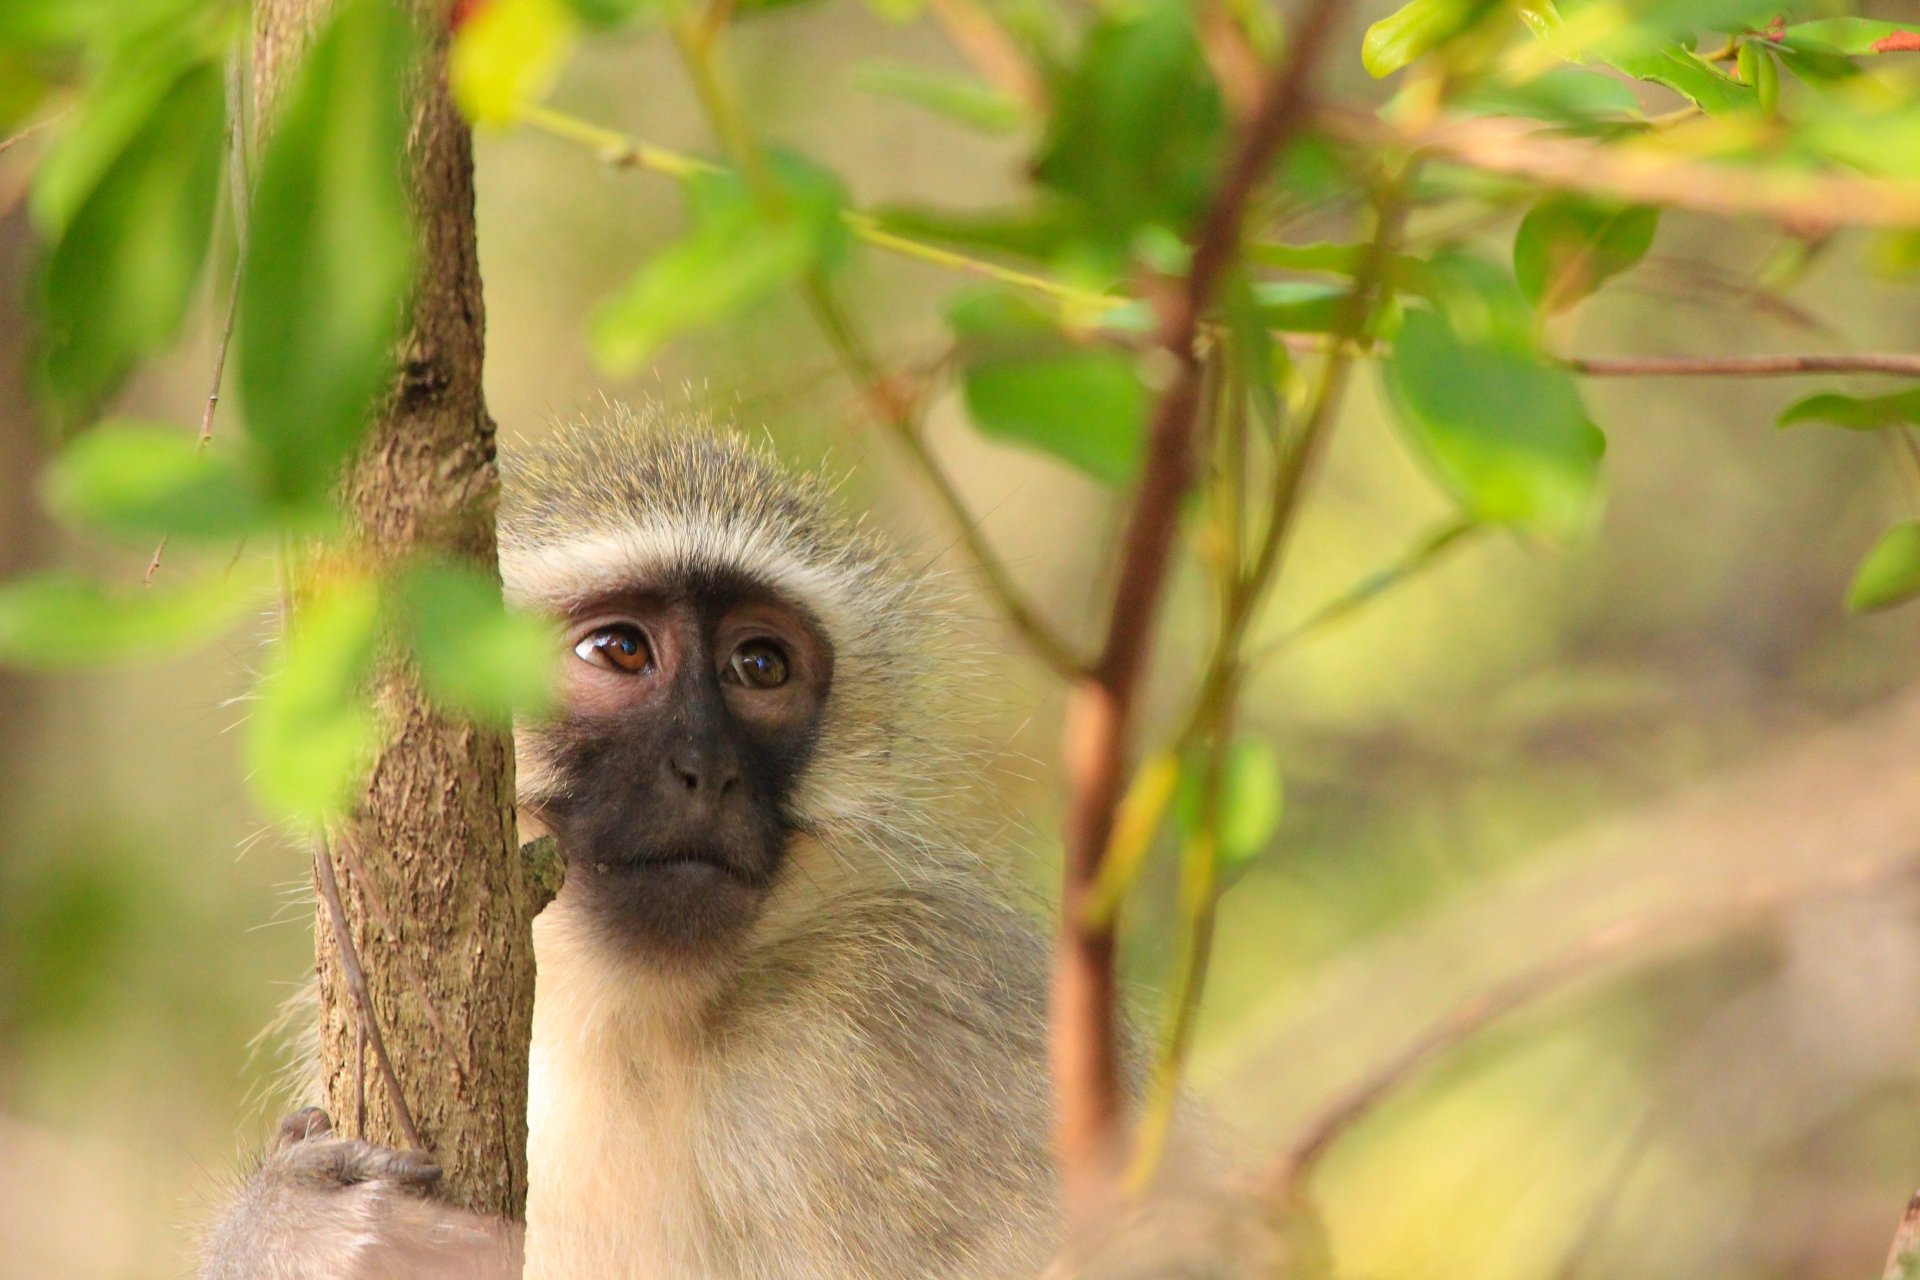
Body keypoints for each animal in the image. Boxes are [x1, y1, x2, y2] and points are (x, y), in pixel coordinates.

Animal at [202, 404, 1068, 1279]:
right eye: (620, 649)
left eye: (760, 665)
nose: (707, 770)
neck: (638, 1027)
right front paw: (289, 1230)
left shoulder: (891, 1009)